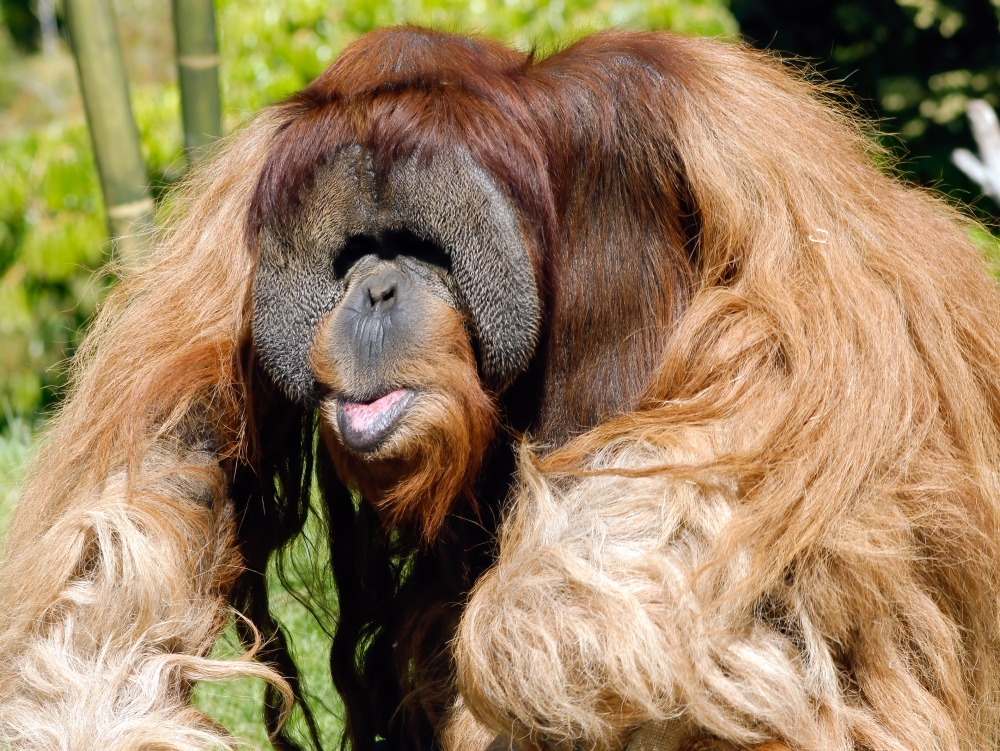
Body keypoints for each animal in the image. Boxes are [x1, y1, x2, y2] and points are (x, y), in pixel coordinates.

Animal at [3, 24, 1000, 751]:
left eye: (419, 247)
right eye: (353, 253)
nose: (374, 291)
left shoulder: (714, 118)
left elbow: (831, 378)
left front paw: (537, 623)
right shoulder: (236, 203)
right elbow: (145, 479)